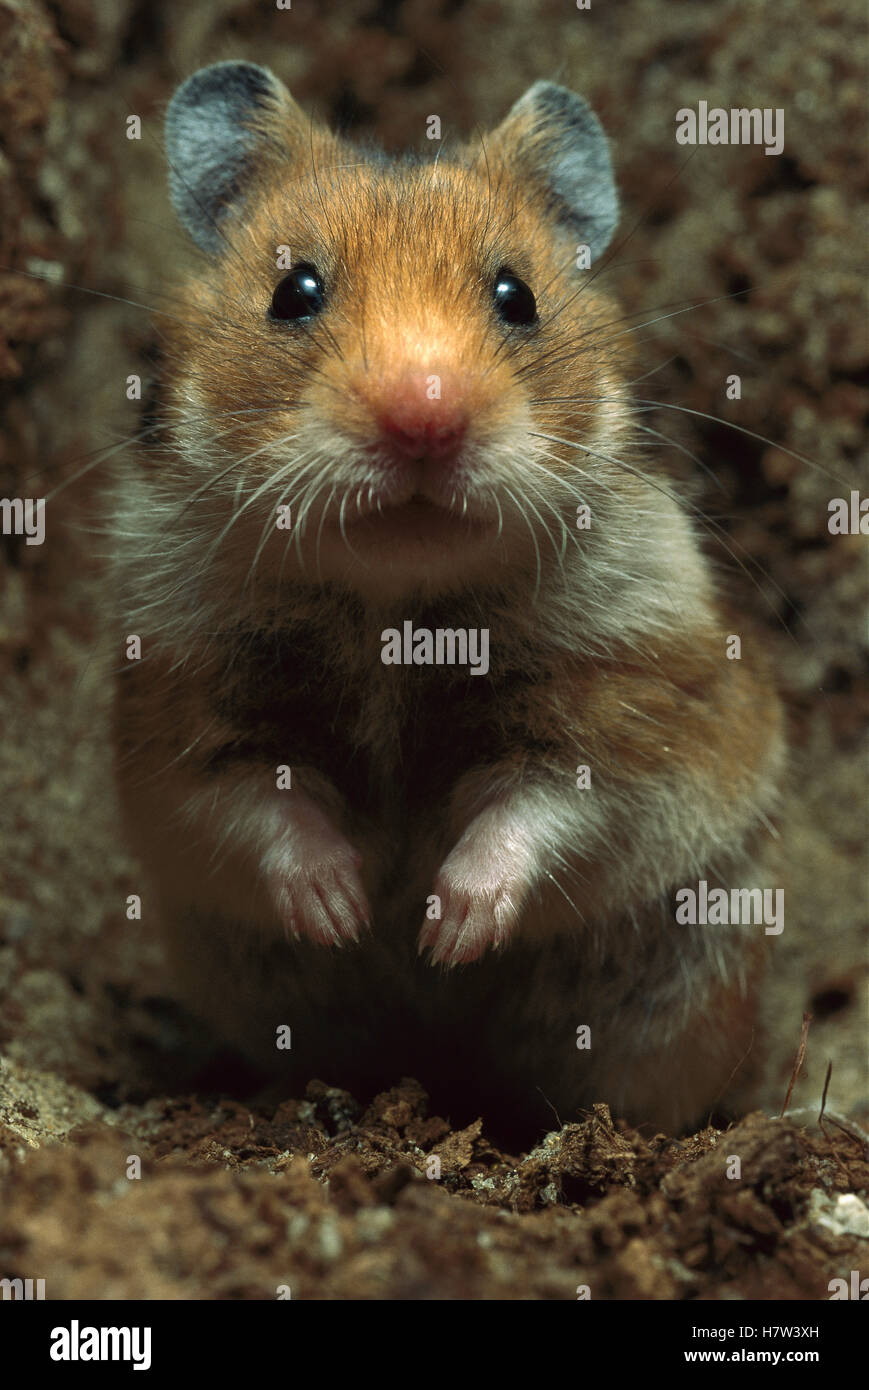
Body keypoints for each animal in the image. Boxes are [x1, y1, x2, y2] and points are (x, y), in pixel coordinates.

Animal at [112, 61, 785, 1141]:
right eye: (293, 292)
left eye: (516, 296)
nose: (423, 418)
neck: (396, 604)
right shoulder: (180, 716)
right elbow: (258, 803)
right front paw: (346, 914)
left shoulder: (632, 715)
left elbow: (538, 810)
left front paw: (440, 932)